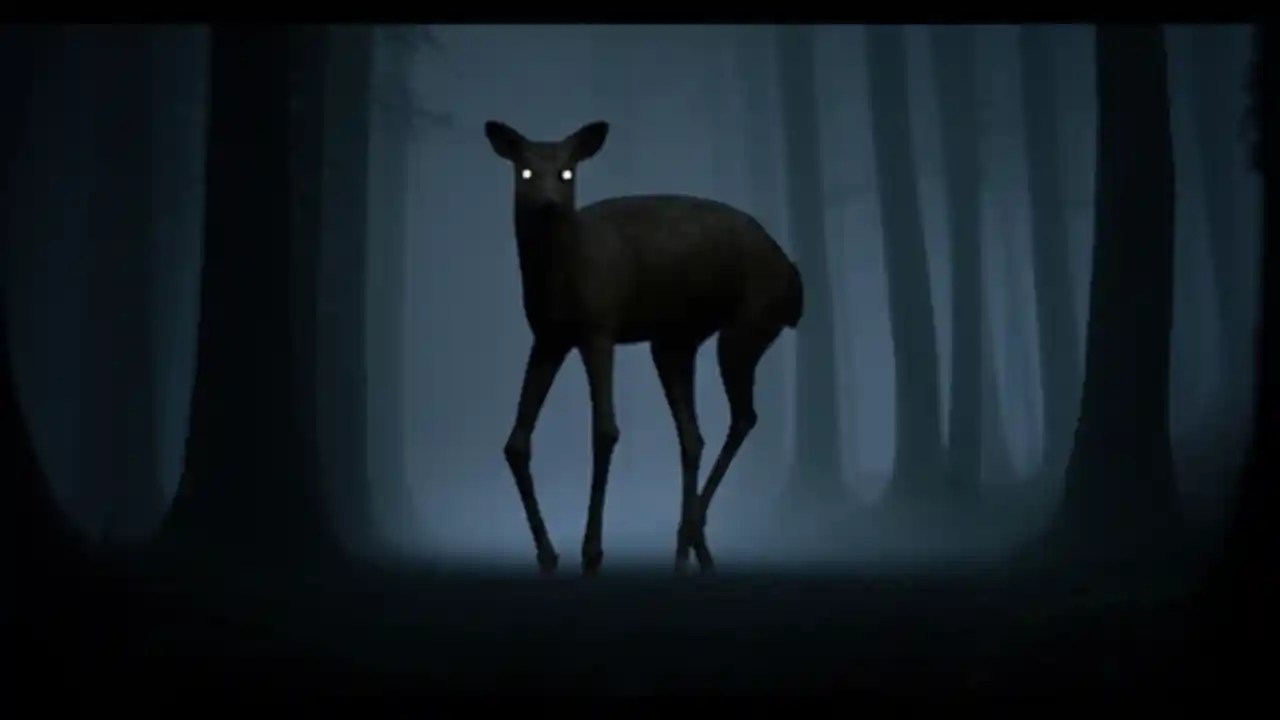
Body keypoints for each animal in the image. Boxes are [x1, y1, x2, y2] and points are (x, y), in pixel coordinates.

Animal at [485, 119, 804, 577]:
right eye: (525, 171)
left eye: (567, 172)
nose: (548, 205)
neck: (561, 273)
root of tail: (796, 285)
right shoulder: (548, 337)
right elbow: (516, 441)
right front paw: (547, 555)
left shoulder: (599, 327)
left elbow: (604, 431)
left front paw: (591, 552)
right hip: (674, 342)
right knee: (694, 435)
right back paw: (690, 549)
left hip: (745, 327)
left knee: (743, 417)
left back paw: (690, 536)